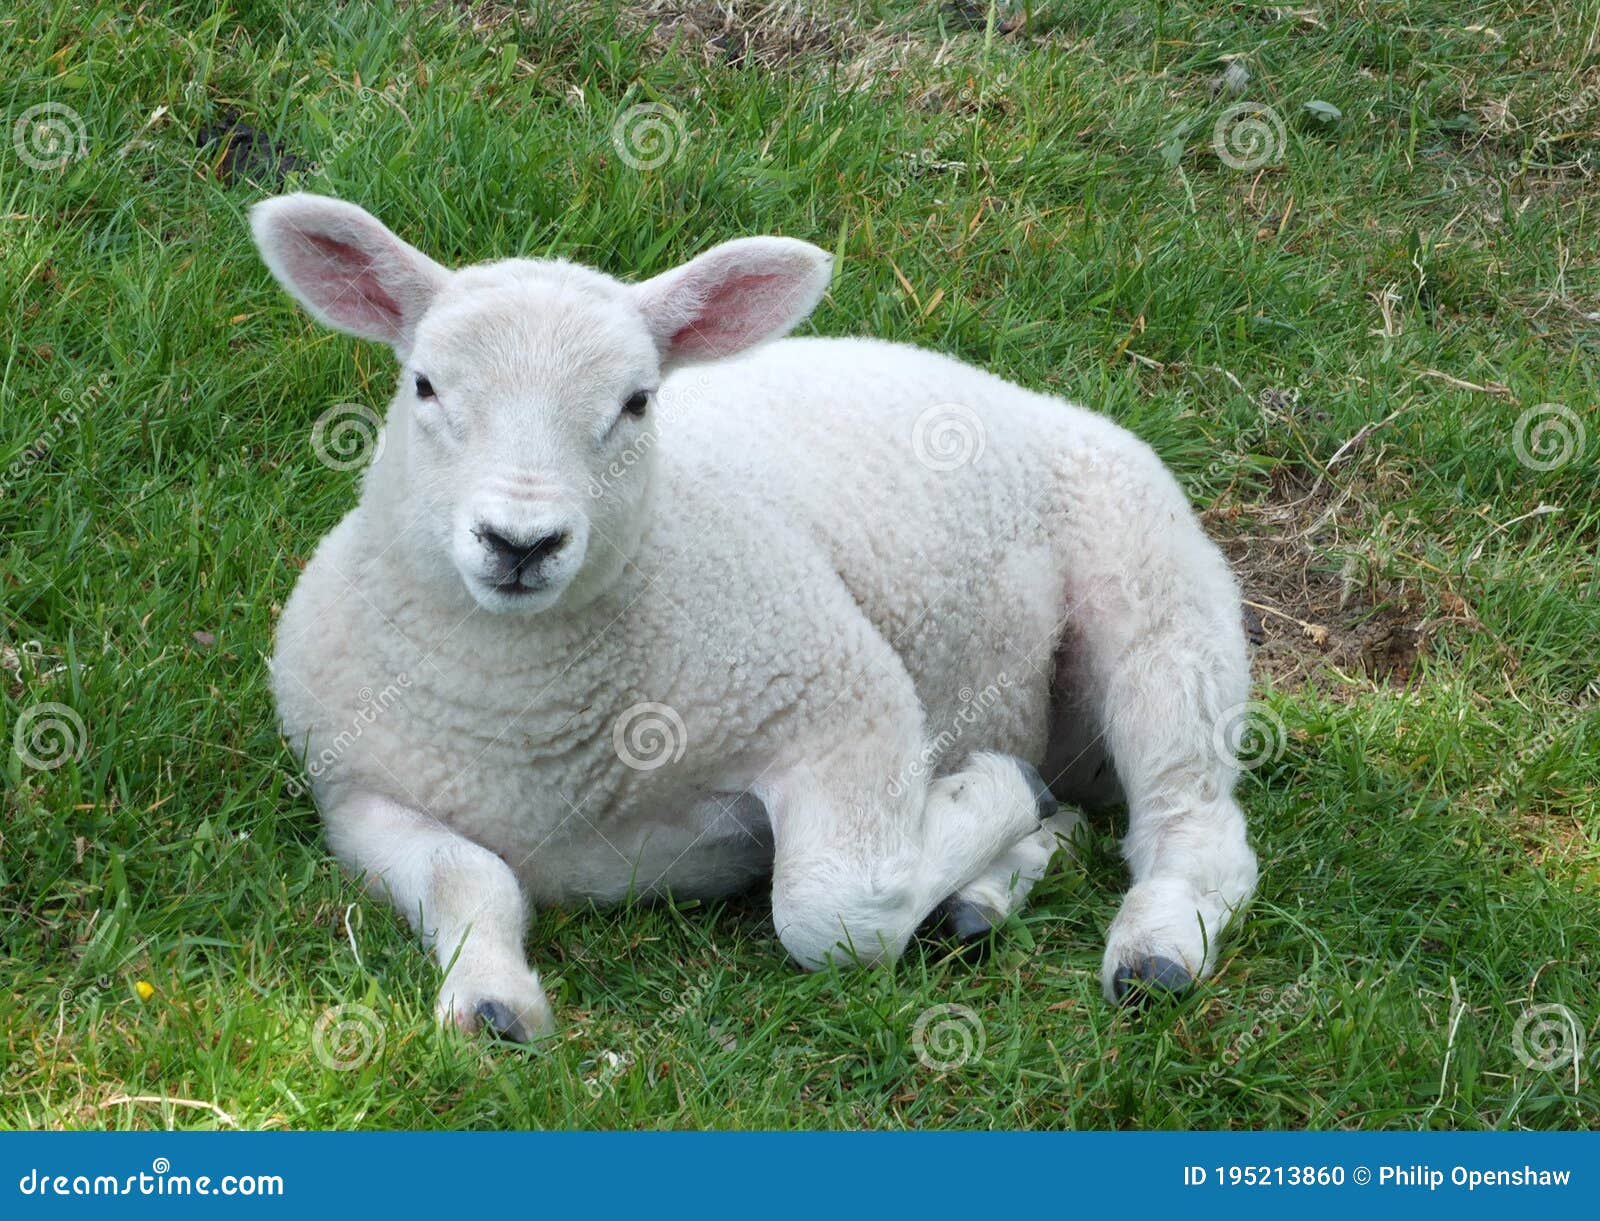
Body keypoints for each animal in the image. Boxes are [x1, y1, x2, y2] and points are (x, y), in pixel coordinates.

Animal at [250, 192, 1258, 1042]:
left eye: (637, 401)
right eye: (424, 385)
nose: (521, 541)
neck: (528, 725)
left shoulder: (840, 702)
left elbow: (837, 910)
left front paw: (987, 790)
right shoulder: (356, 795)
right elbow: (471, 879)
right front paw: (492, 1004)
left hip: (1158, 594)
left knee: (1193, 817)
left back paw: (1155, 948)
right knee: (1088, 817)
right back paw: (988, 893)